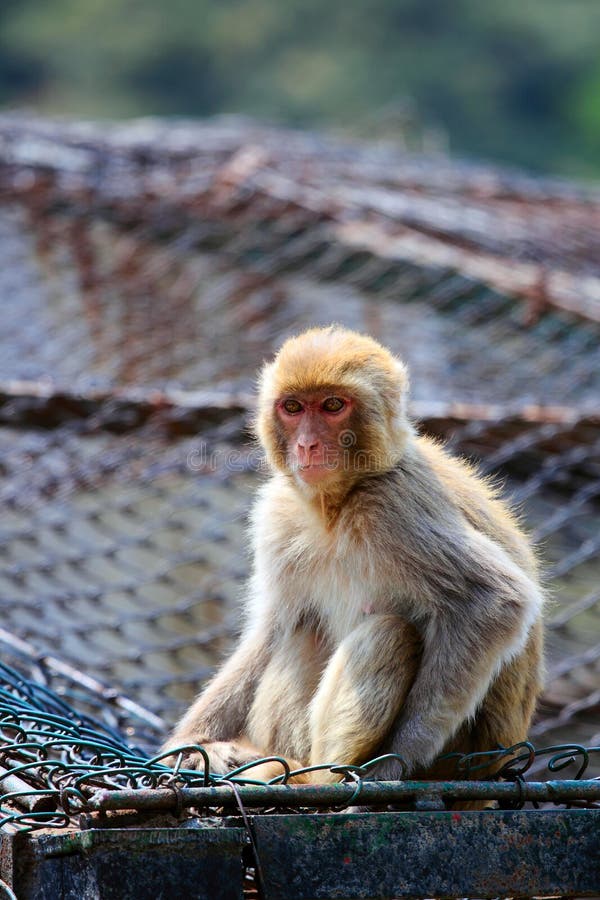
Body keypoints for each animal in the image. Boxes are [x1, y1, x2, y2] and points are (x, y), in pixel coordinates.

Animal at [163, 326, 544, 786]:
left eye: (332, 406)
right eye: (293, 407)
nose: (307, 445)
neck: (338, 505)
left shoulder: (394, 505)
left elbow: (495, 600)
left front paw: (395, 759)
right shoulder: (279, 515)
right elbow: (268, 634)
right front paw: (188, 744)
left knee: (388, 634)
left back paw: (317, 778)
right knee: (302, 630)